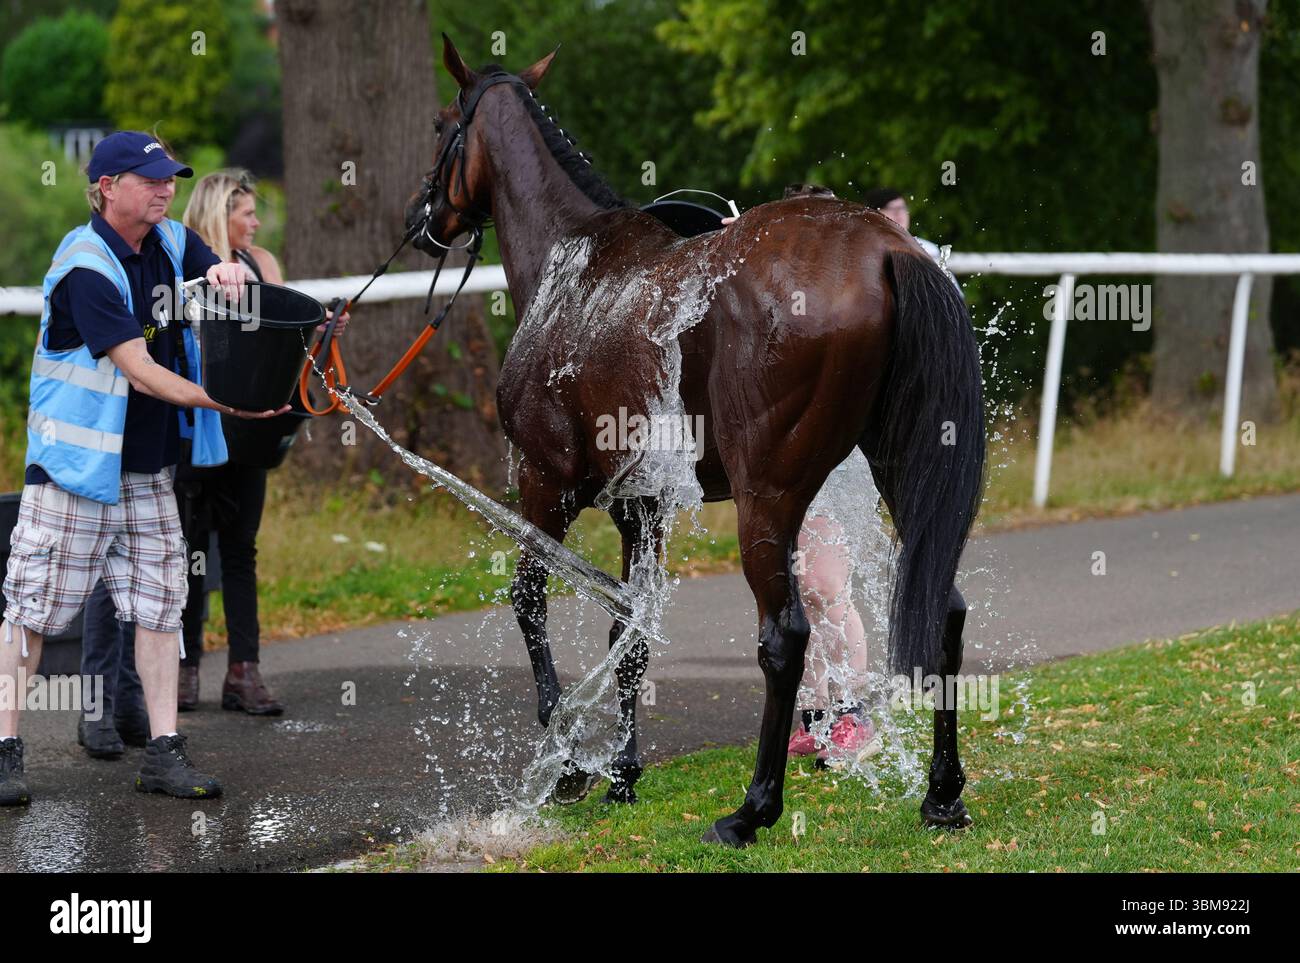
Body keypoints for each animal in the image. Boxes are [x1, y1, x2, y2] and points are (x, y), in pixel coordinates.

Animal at [404, 36, 986, 848]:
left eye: (438, 125)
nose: (420, 216)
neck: (572, 265)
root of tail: (882, 249)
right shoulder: (640, 503)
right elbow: (629, 631)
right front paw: (622, 774)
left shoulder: (546, 486)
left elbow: (528, 599)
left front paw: (569, 763)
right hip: (899, 470)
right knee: (943, 608)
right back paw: (941, 794)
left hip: (767, 497)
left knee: (785, 636)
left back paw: (753, 808)